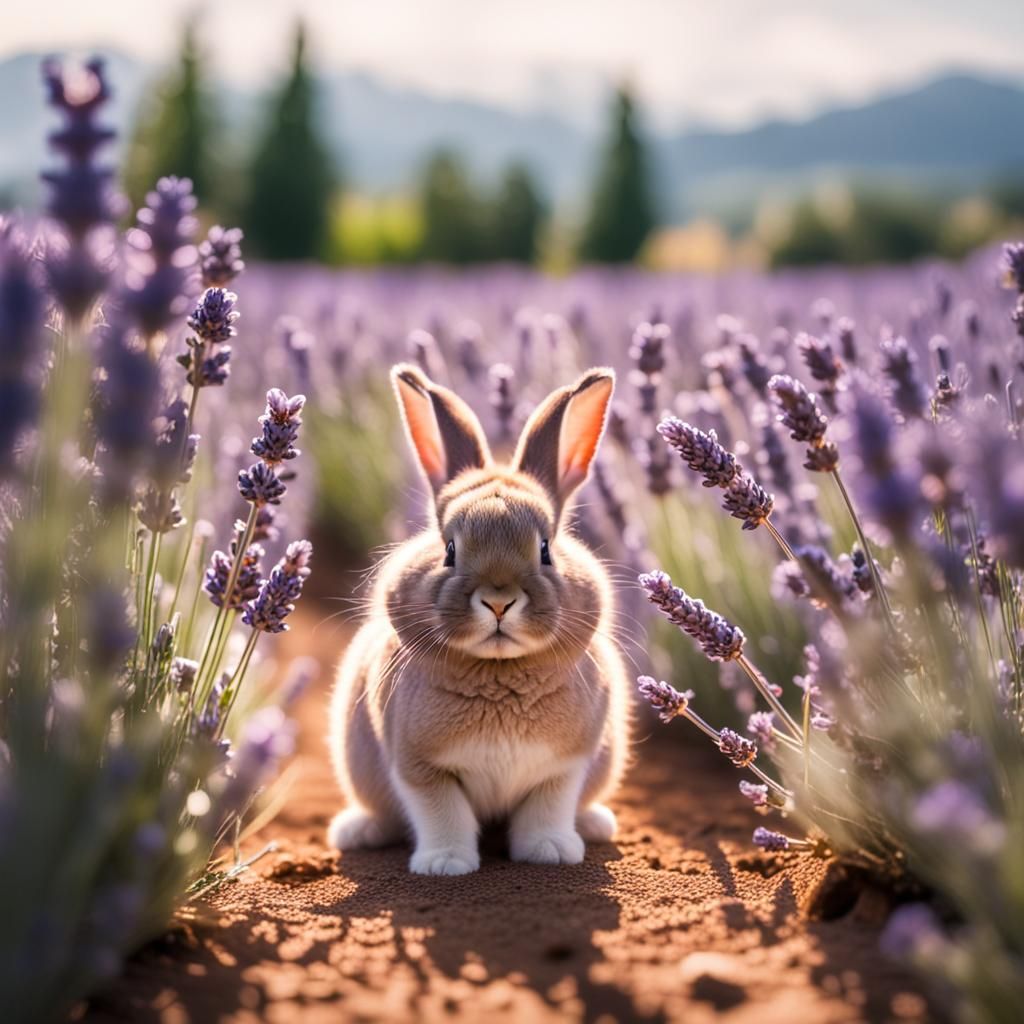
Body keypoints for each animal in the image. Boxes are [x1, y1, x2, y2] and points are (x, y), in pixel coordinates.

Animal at [327, 362, 631, 875]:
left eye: (546, 549)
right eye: (449, 550)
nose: (498, 601)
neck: (499, 673)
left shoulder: (565, 767)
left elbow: (546, 809)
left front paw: (550, 852)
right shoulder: (419, 766)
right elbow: (441, 812)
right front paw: (446, 864)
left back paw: (594, 824)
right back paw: (357, 832)